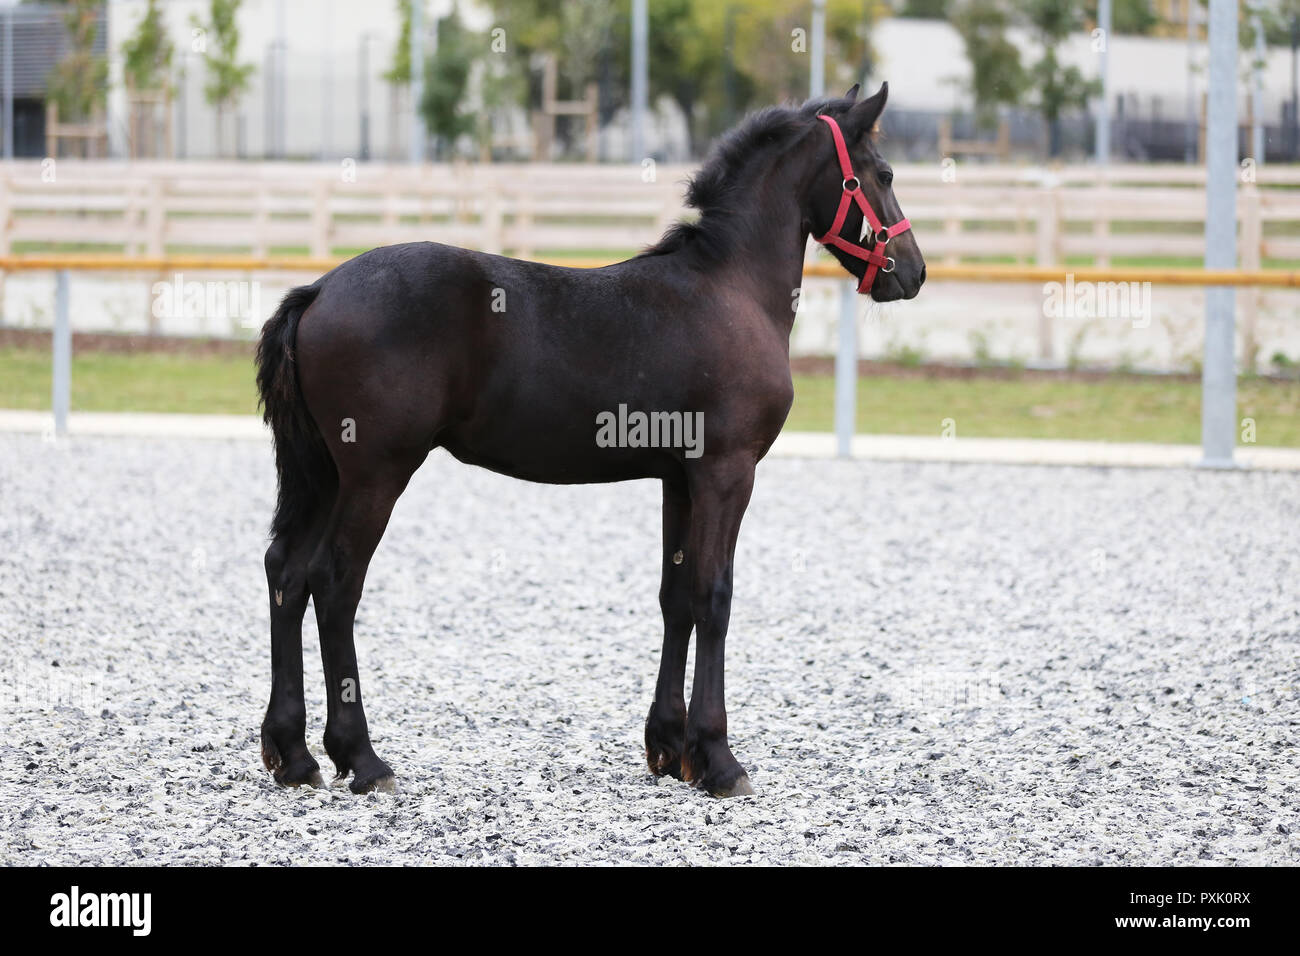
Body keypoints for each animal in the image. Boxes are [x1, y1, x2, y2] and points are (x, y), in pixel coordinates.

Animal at [255, 82, 924, 798]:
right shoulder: (726, 472)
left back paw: (294, 753)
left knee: (287, 573)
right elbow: (714, 597)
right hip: (375, 477)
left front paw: (670, 748)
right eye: (883, 174)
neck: (730, 289)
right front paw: (718, 758)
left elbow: (676, 598)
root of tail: (320, 290)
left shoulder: (679, 479)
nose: (912, 272)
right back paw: (362, 757)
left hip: (327, 477)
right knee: (334, 583)